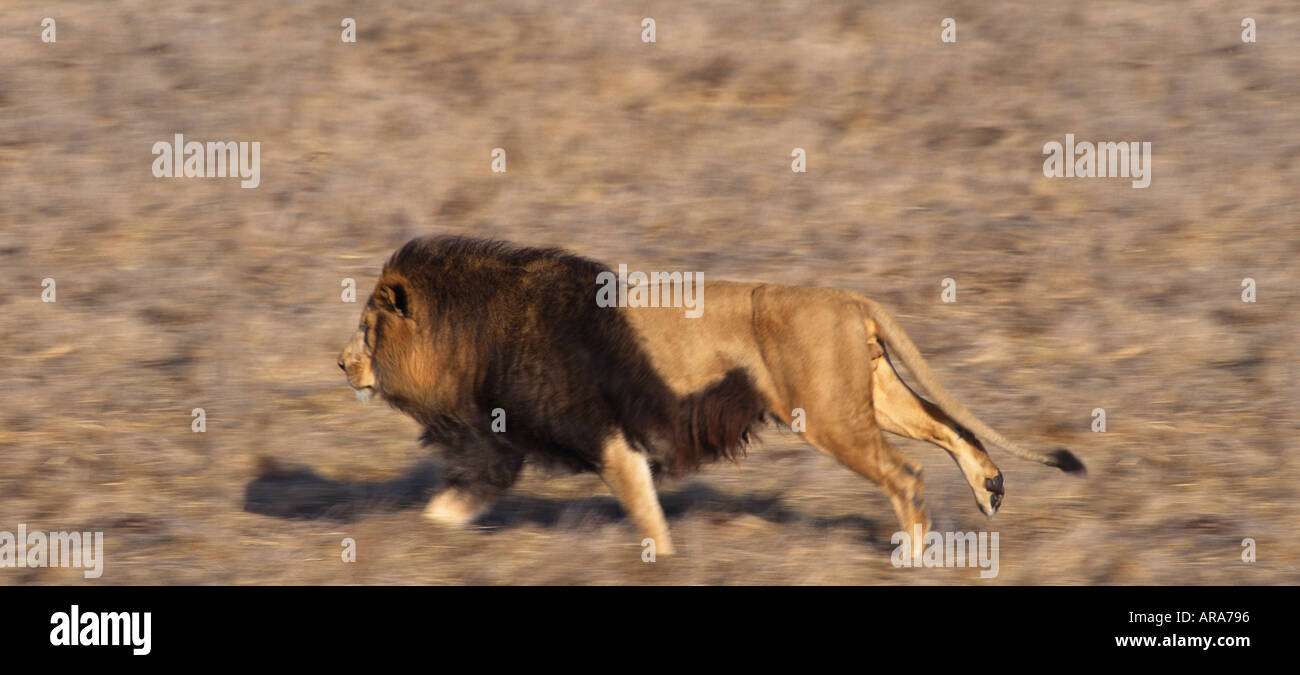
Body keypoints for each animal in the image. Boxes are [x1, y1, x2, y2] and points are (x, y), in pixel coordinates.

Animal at [338, 236, 1084, 557]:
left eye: (368, 330)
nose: (342, 363)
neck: (472, 332)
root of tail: (848, 297)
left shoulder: (606, 439)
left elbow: (646, 516)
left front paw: (663, 564)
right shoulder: (503, 445)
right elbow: (448, 506)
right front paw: (417, 541)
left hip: (830, 416)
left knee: (907, 473)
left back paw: (914, 559)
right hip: (864, 396)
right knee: (952, 429)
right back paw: (990, 488)